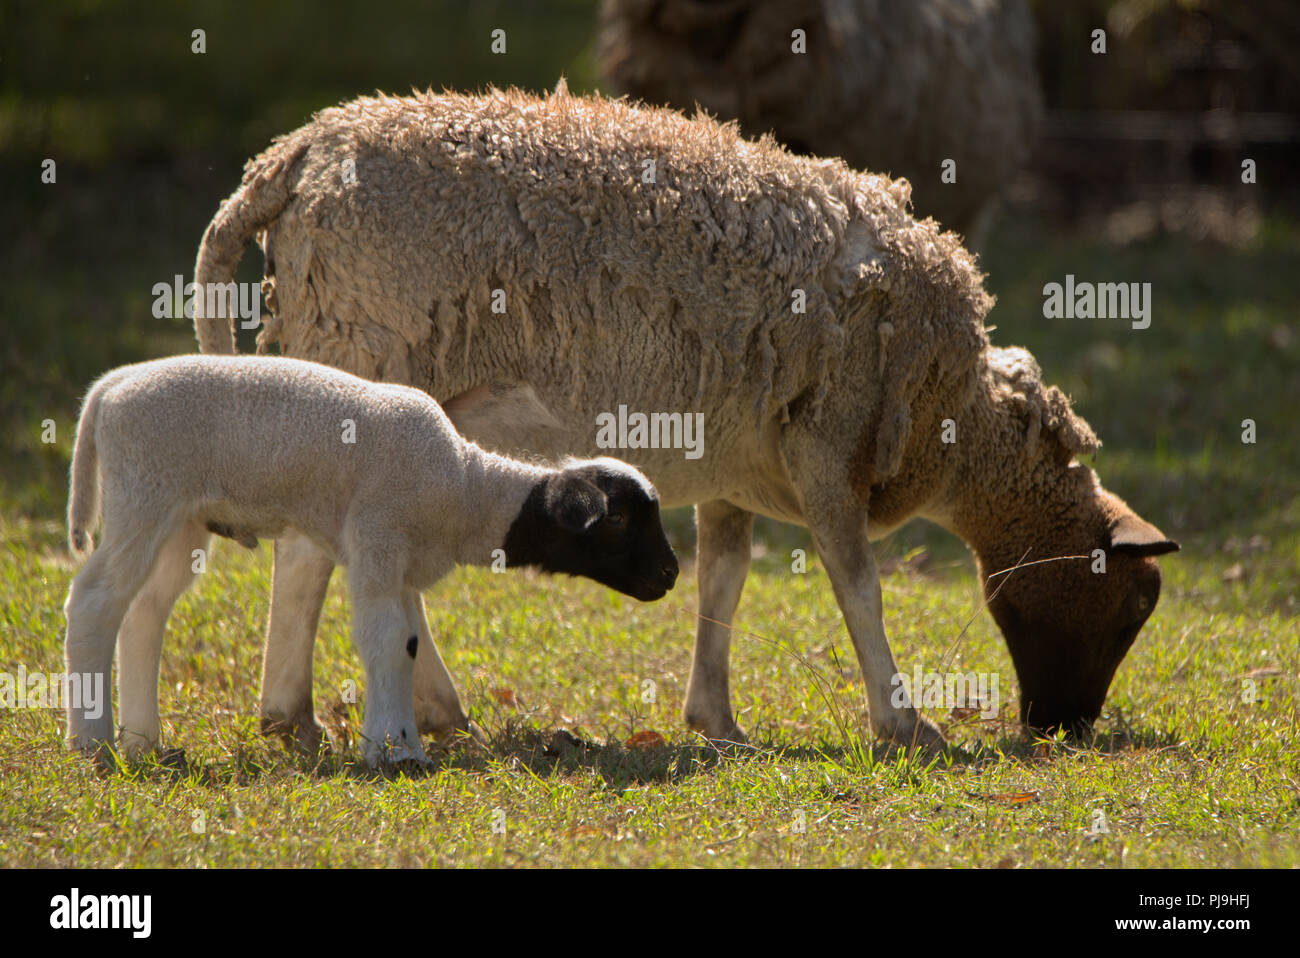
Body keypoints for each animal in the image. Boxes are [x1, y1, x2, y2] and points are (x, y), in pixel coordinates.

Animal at [62, 353, 679, 767]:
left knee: (143, 612)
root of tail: (110, 388)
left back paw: (143, 742)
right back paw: (94, 743)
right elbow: (387, 640)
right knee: (94, 604)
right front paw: (393, 751)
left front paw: (400, 739)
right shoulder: (378, 535)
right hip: (144, 491)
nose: (671, 574)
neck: (465, 489)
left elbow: (409, 642)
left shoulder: (402, 562)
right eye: (619, 521)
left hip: (182, 519)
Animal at [192, 87, 1178, 750]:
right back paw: (305, 714)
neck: (956, 420)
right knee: (309, 553)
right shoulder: (829, 440)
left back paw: (381, 710)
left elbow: (723, 582)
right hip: (364, 357)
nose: (1065, 730)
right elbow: (857, 584)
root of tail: (295, 156)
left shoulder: (736, 463)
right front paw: (903, 724)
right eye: (1136, 603)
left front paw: (717, 720)